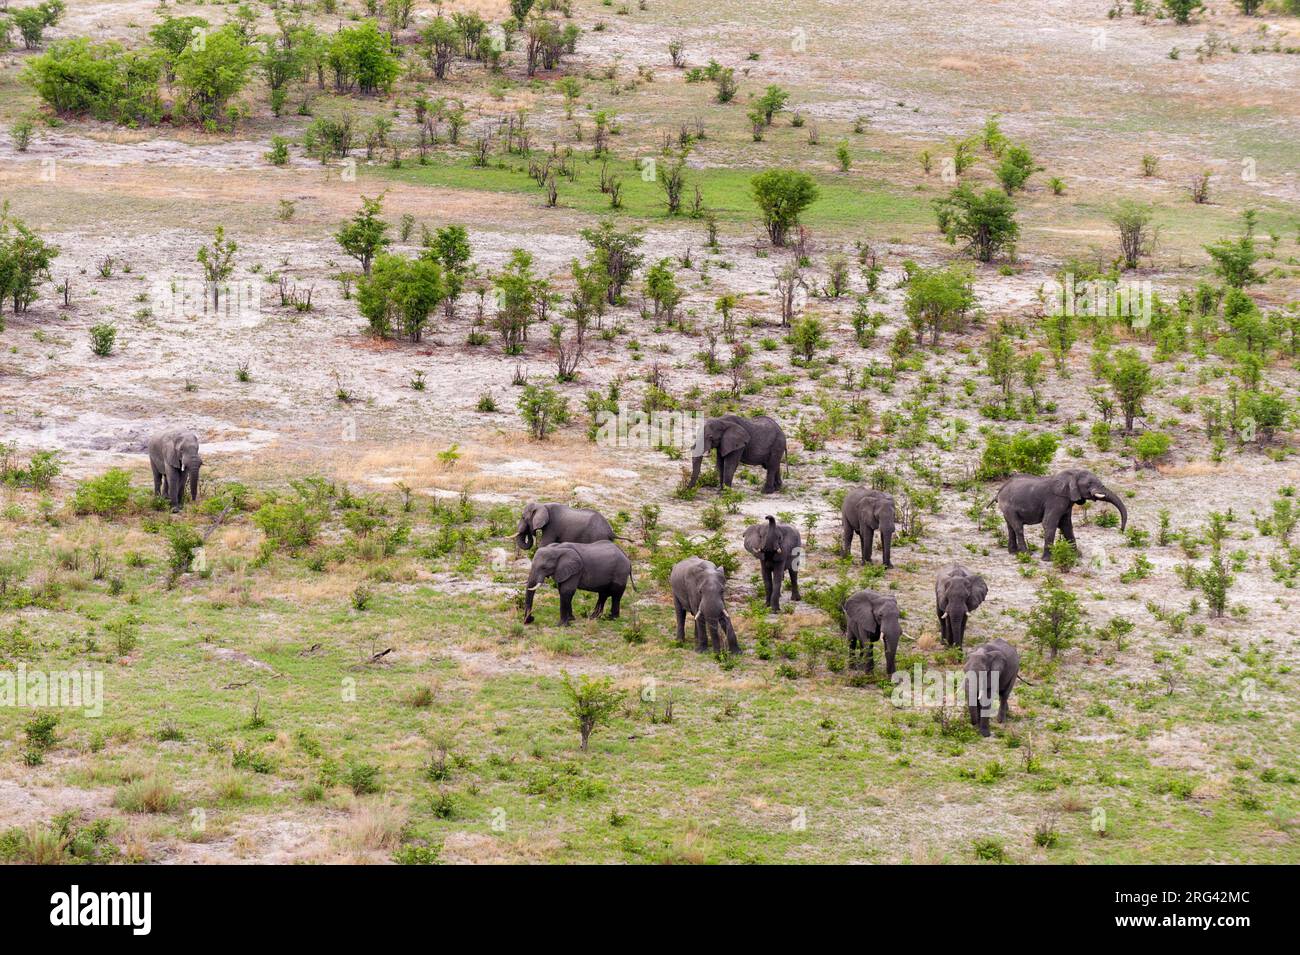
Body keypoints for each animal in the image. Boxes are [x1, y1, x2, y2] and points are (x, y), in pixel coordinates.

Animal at [996, 468, 1127, 560]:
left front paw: (1077, 555)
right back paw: (1026, 554)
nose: (1121, 530)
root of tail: (1000, 489)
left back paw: (1013, 553)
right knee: (1018, 528)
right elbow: (1049, 523)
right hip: (1008, 506)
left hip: (1007, 508)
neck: (1073, 474)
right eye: (1089, 483)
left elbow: (1066, 526)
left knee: (1011, 527)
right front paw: (1048, 559)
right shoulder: (1056, 499)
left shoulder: (1067, 501)